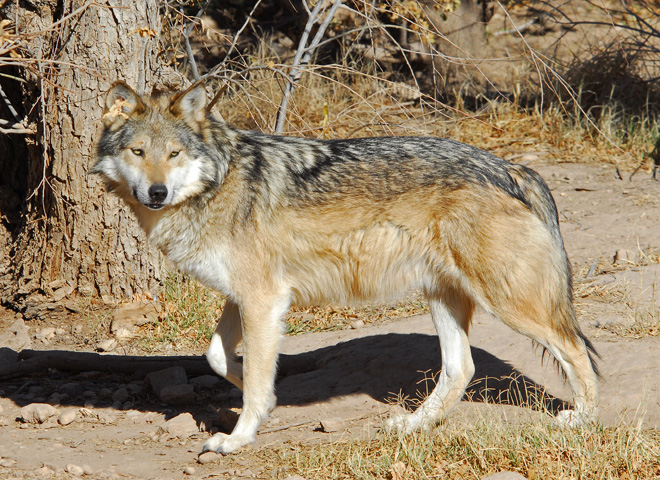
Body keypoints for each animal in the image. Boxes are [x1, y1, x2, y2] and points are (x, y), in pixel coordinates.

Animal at [94, 81, 599, 455]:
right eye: (138, 152)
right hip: (442, 297)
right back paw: (412, 425)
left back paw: (583, 419)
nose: (157, 192)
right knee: (461, 369)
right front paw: (269, 396)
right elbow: (221, 358)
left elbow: (253, 376)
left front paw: (238, 438)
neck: (217, 185)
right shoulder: (247, 298)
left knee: (576, 350)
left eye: (173, 154)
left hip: (509, 302)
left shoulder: (263, 298)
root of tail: (509, 166)